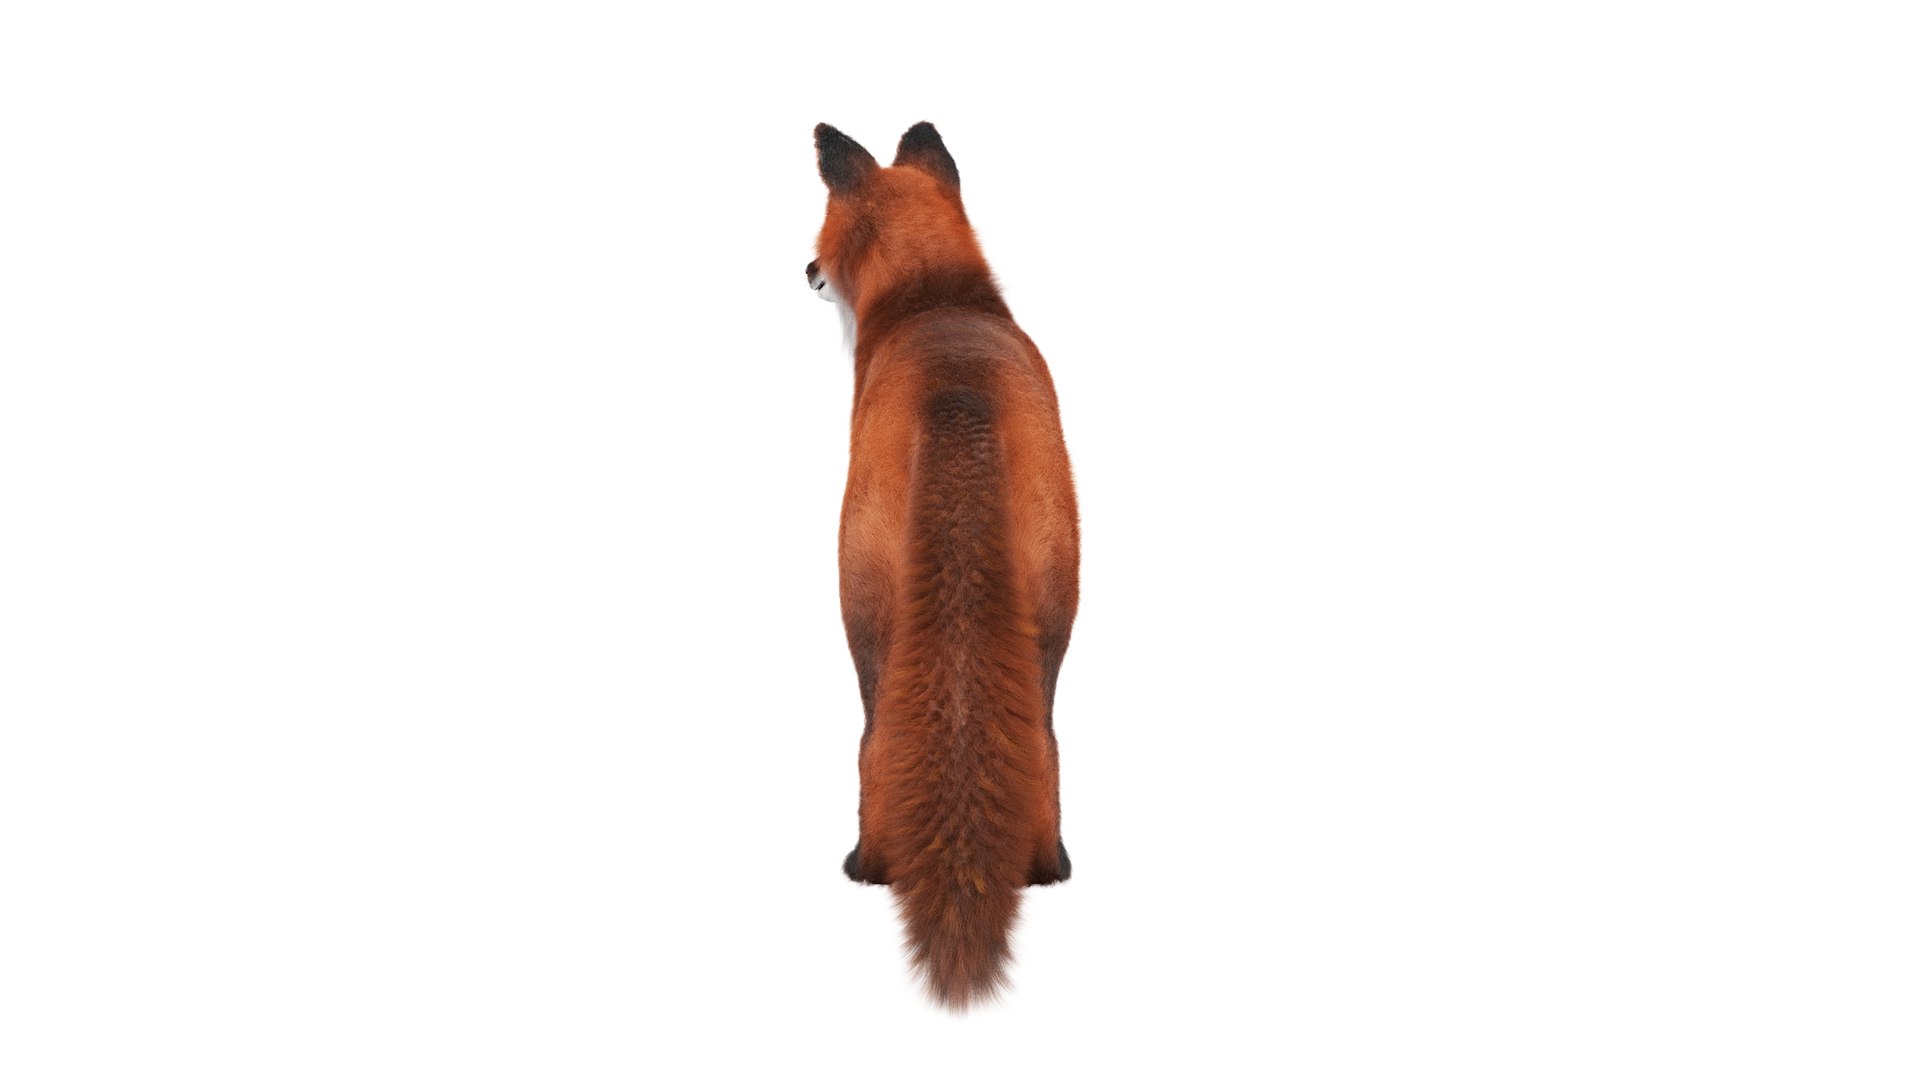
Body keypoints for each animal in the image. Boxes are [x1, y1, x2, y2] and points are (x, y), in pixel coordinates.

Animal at [806, 122, 1080, 1010]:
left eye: (824, 227)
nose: (806, 271)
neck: (940, 301)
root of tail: (960, 392)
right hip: (1052, 624)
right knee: (1047, 742)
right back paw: (1047, 865)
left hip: (862, 616)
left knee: (871, 737)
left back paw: (868, 863)